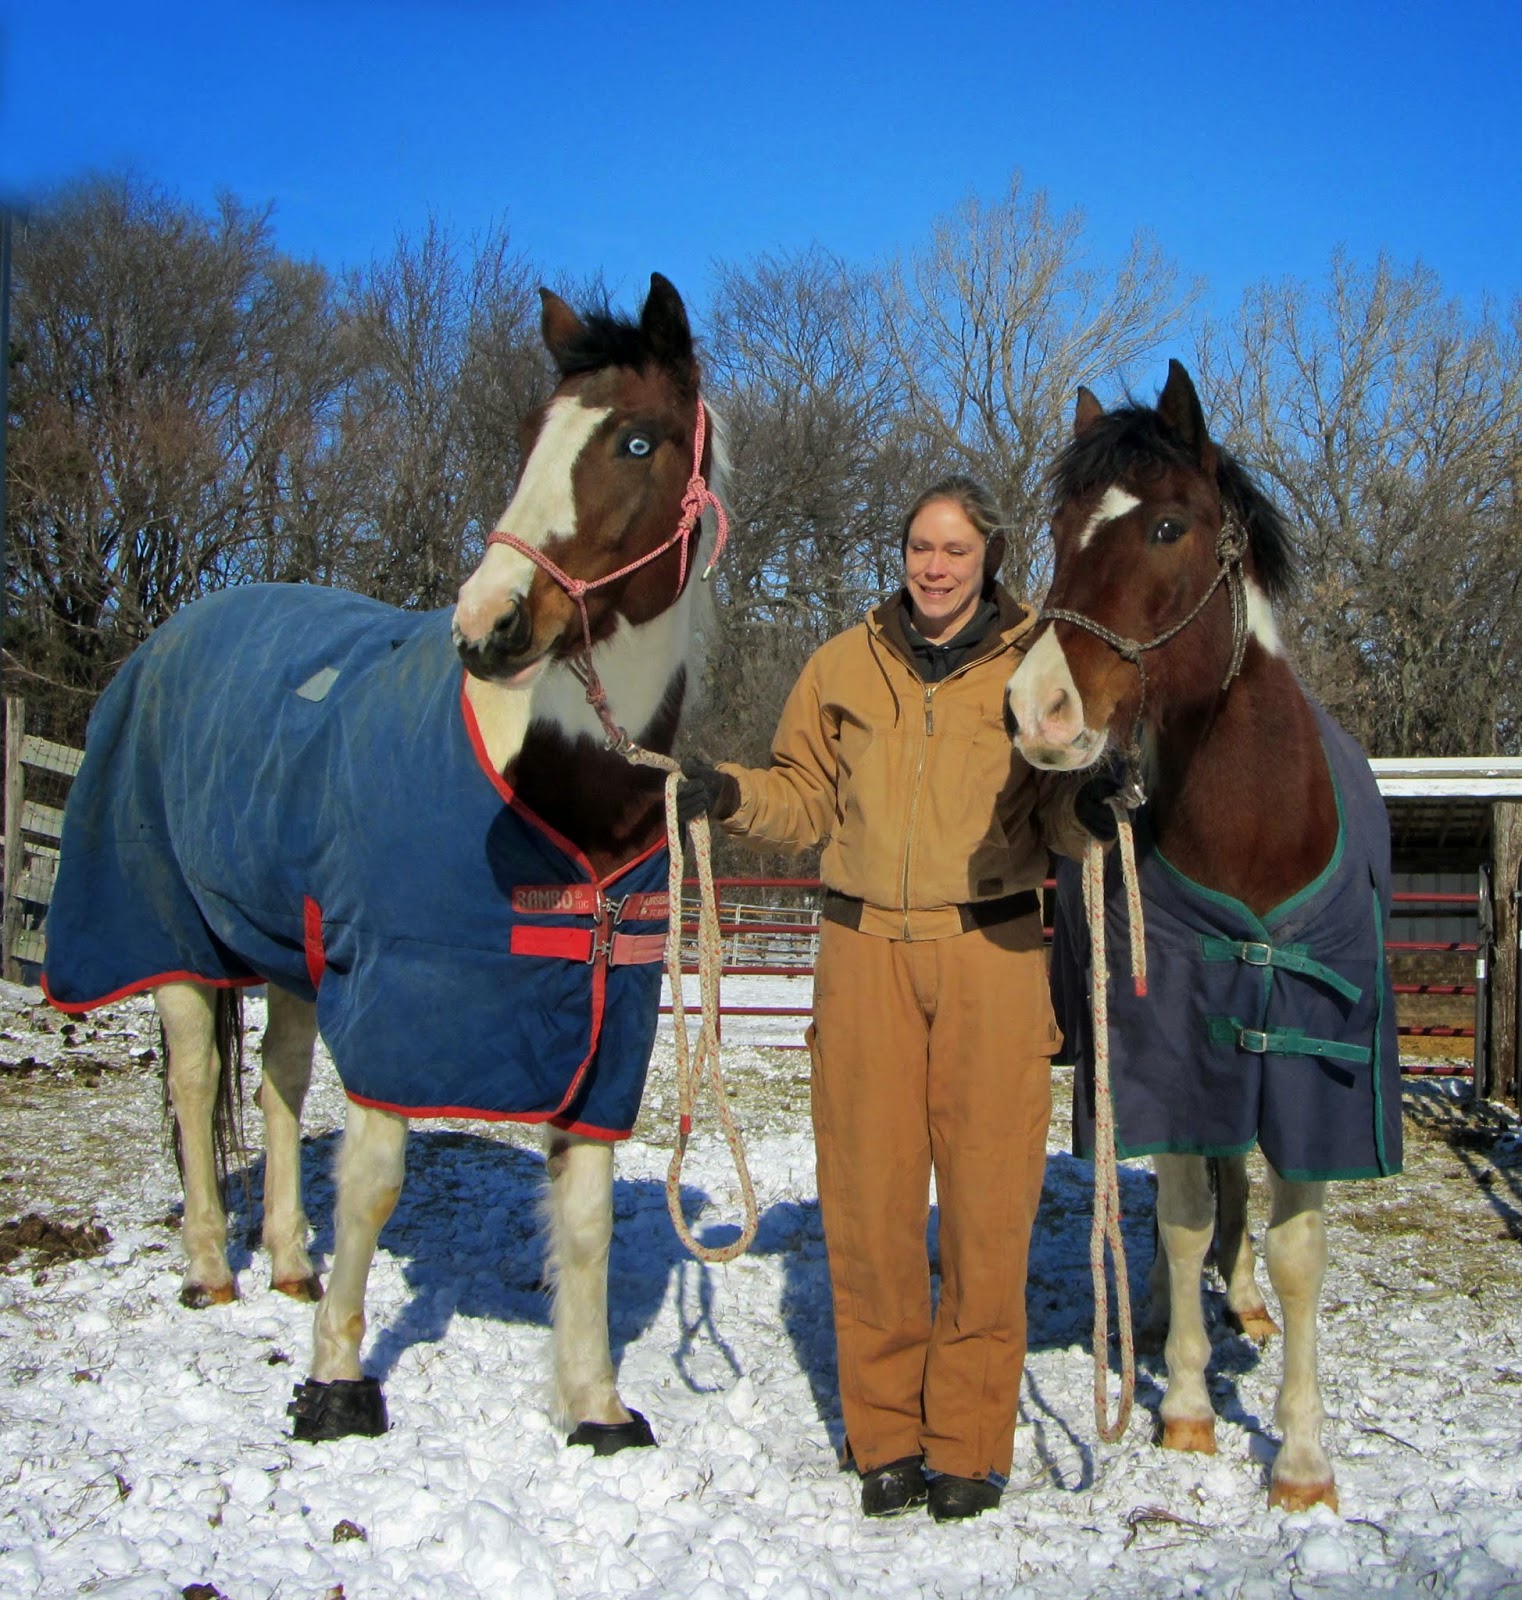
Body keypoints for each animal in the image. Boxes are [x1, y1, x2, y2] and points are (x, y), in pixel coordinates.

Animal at [42, 273, 724, 1451]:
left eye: (638, 440)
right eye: (530, 437)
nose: (489, 624)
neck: (550, 785)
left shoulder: (606, 1025)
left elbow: (586, 1214)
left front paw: (595, 1407)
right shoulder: (403, 991)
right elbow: (371, 1181)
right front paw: (337, 1387)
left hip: (293, 953)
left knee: (275, 1080)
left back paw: (288, 1264)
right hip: (173, 936)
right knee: (191, 1078)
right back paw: (212, 1270)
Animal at [1005, 361, 1402, 1513]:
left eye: (1168, 526)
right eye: (1060, 528)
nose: (1036, 711)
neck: (1257, 834)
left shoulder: (1317, 1071)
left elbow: (1299, 1247)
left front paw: (1303, 1460)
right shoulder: (1170, 1048)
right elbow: (1180, 1213)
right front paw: (1182, 1402)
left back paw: (1244, 1297)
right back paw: (1152, 1307)